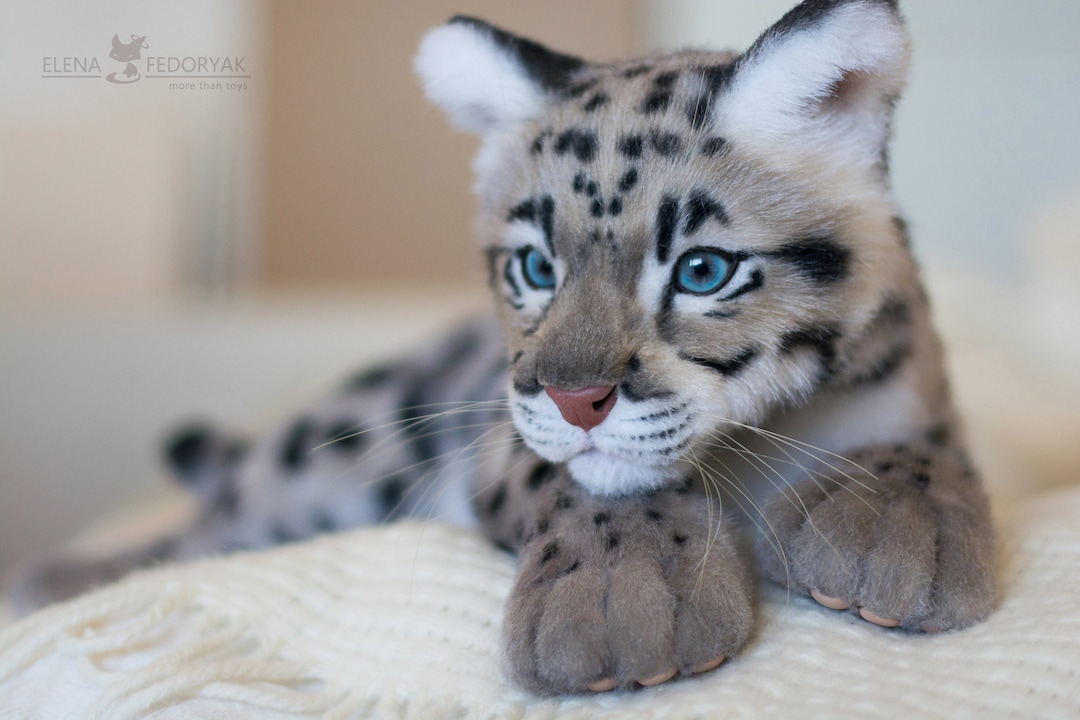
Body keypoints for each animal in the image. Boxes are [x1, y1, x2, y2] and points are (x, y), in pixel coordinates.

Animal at [9, 0, 995, 696]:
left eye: (703, 270)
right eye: (533, 265)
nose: (574, 400)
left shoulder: (915, 379)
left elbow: (927, 439)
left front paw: (896, 526)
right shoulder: (495, 432)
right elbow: (570, 481)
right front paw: (622, 598)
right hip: (340, 449)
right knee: (202, 529)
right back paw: (51, 579)